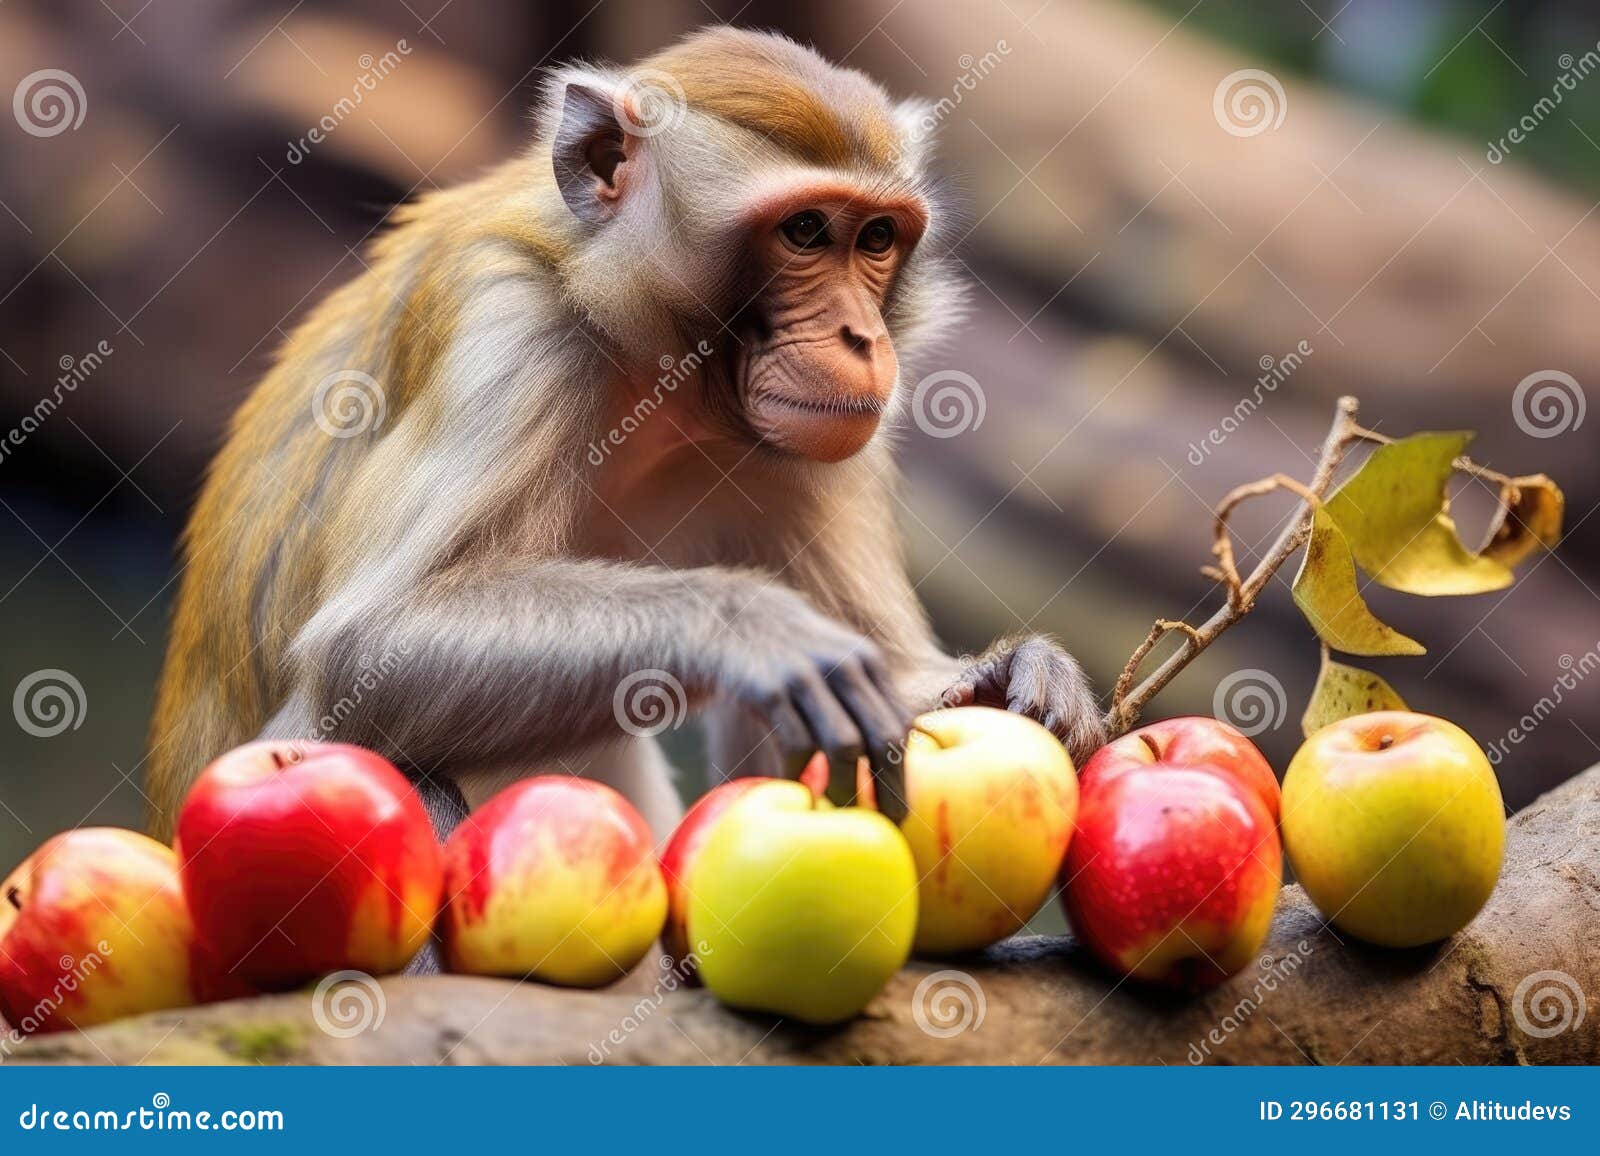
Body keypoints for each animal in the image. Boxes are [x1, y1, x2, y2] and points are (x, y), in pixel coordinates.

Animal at [146, 29, 1105, 904]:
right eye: (804, 230)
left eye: (876, 237)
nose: (862, 339)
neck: (658, 373)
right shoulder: (520, 329)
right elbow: (364, 652)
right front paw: (753, 628)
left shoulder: (809, 447)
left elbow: (875, 690)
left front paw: (1011, 672)